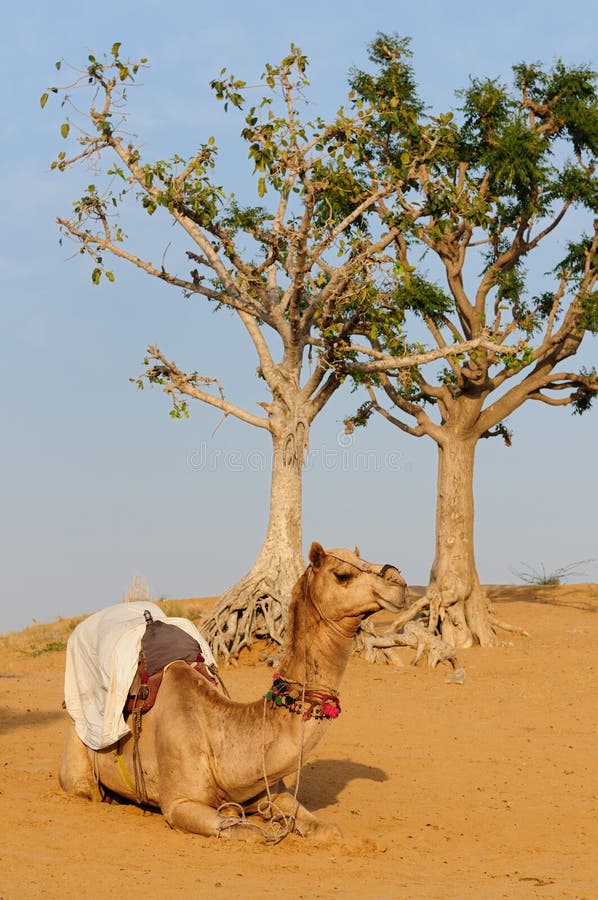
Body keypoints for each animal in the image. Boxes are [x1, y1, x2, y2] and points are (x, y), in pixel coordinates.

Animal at [59, 542, 407, 841]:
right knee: (85, 787)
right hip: (78, 758)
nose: (398, 580)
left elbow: (327, 830)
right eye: (343, 574)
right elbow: (252, 833)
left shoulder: (272, 792)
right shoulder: (179, 804)